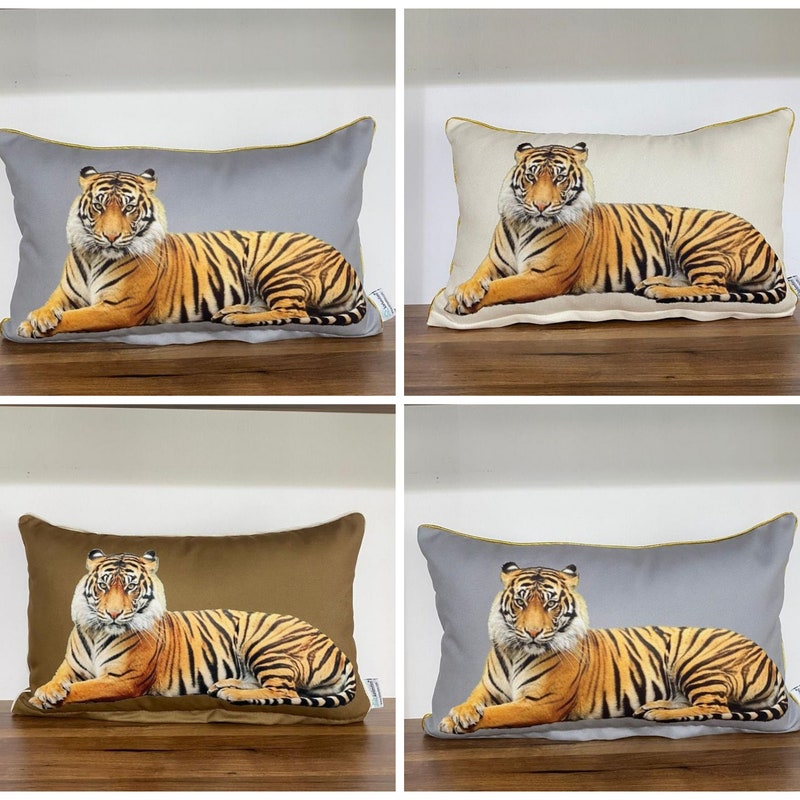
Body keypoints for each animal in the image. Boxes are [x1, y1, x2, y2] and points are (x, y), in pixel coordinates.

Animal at [17, 166, 366, 337]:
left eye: (129, 207)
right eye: (100, 206)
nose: (111, 237)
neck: (94, 255)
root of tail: (349, 265)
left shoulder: (119, 308)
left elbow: (76, 318)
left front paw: (32, 326)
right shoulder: (65, 292)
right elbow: (50, 306)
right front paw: (36, 317)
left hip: (276, 266)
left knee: (293, 312)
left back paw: (237, 319)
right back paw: (230, 311)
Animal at [29, 549, 357, 709]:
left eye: (131, 587)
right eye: (104, 585)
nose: (113, 614)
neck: (99, 632)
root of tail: (340, 651)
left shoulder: (124, 680)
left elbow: (83, 689)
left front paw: (40, 699)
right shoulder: (71, 666)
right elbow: (58, 679)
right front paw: (46, 691)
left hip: (265, 644)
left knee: (285, 691)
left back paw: (231, 694)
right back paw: (223, 685)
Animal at [439, 563, 788, 733]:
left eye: (551, 604)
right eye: (521, 602)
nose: (533, 632)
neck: (516, 651)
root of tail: (771, 660)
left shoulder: (541, 704)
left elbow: (498, 714)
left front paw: (453, 722)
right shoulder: (487, 688)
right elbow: (472, 701)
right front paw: (458, 713)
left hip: (698, 662)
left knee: (714, 707)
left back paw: (659, 715)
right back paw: (651, 707)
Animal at [445, 142, 787, 315]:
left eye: (559, 178)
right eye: (531, 176)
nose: (541, 206)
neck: (522, 224)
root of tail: (770, 247)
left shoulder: (546, 276)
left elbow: (502, 287)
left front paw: (457, 301)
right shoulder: (494, 261)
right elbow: (477, 276)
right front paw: (464, 290)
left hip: (697, 241)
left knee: (714, 288)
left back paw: (659, 291)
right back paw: (650, 283)